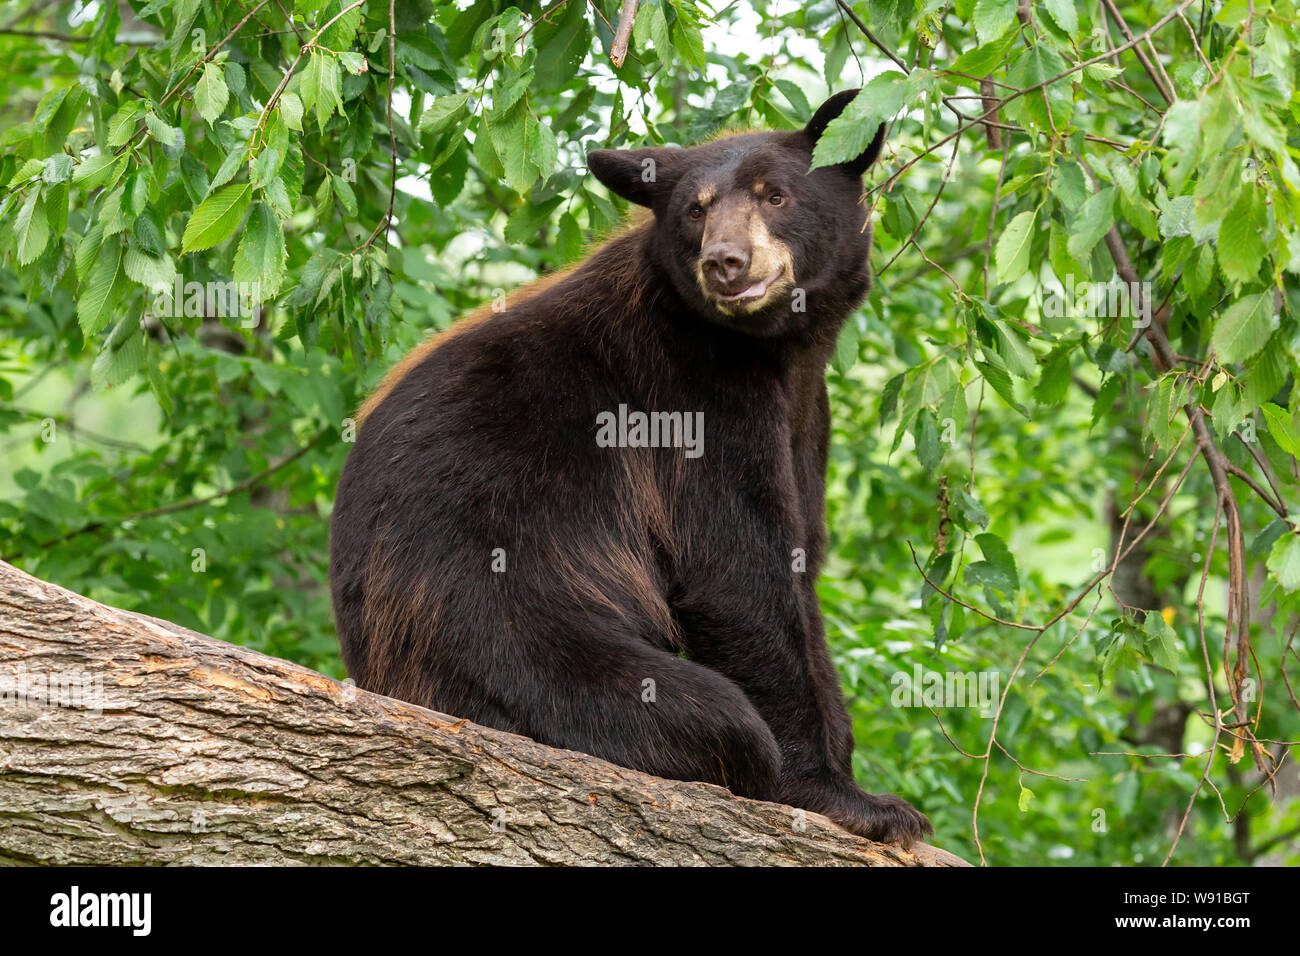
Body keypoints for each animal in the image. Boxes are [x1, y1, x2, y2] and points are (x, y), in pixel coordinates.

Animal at [329, 89, 932, 847]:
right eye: (695, 210)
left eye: (776, 195)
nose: (727, 262)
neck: (775, 350)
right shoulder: (693, 400)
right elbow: (736, 573)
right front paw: (846, 797)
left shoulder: (804, 419)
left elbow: (801, 563)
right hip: (503, 630)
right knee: (710, 713)